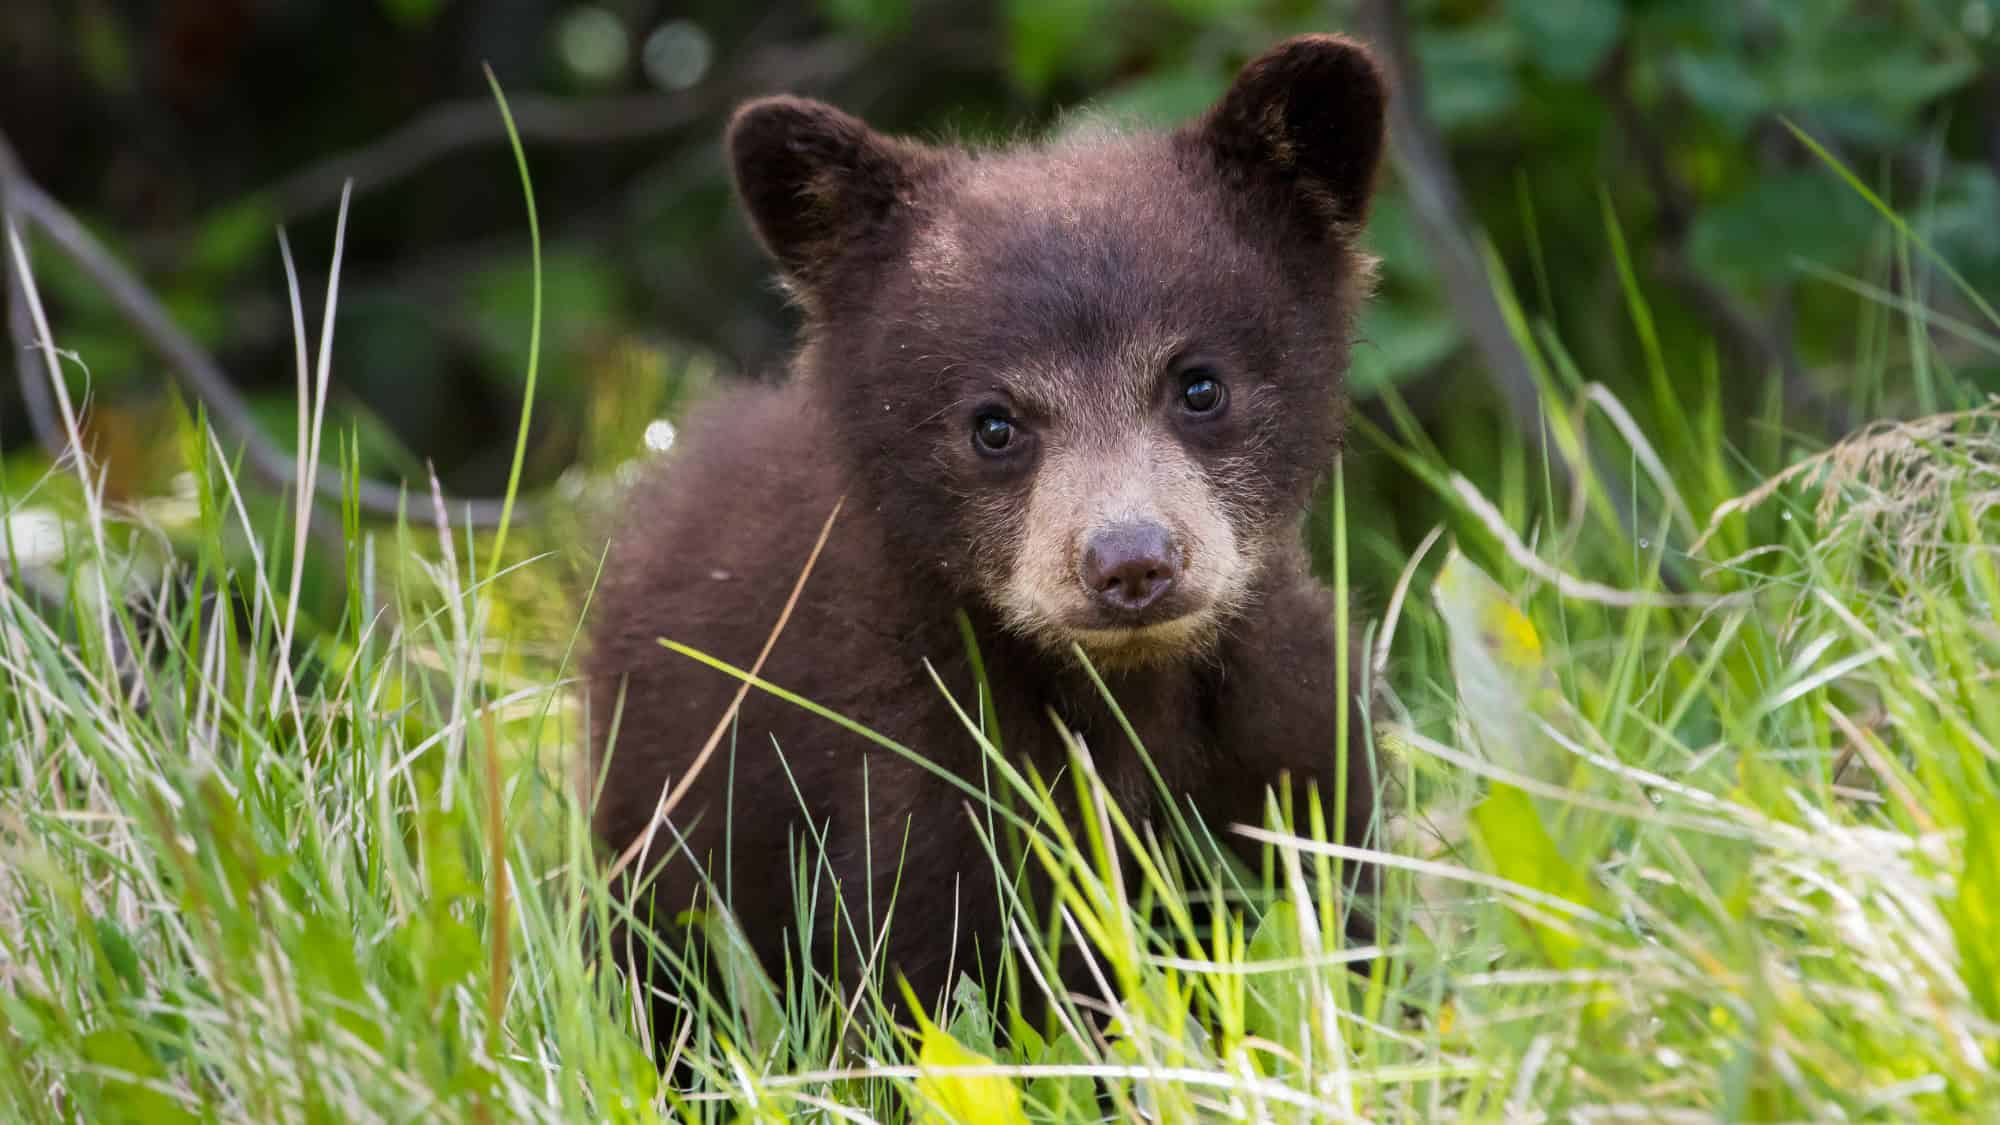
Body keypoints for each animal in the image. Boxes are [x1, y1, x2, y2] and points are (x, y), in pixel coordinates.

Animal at [584, 33, 1390, 1030]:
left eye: (1200, 384)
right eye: (995, 424)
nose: (1130, 562)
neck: (1130, 694)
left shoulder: (1297, 742)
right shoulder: (917, 765)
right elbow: (937, 978)